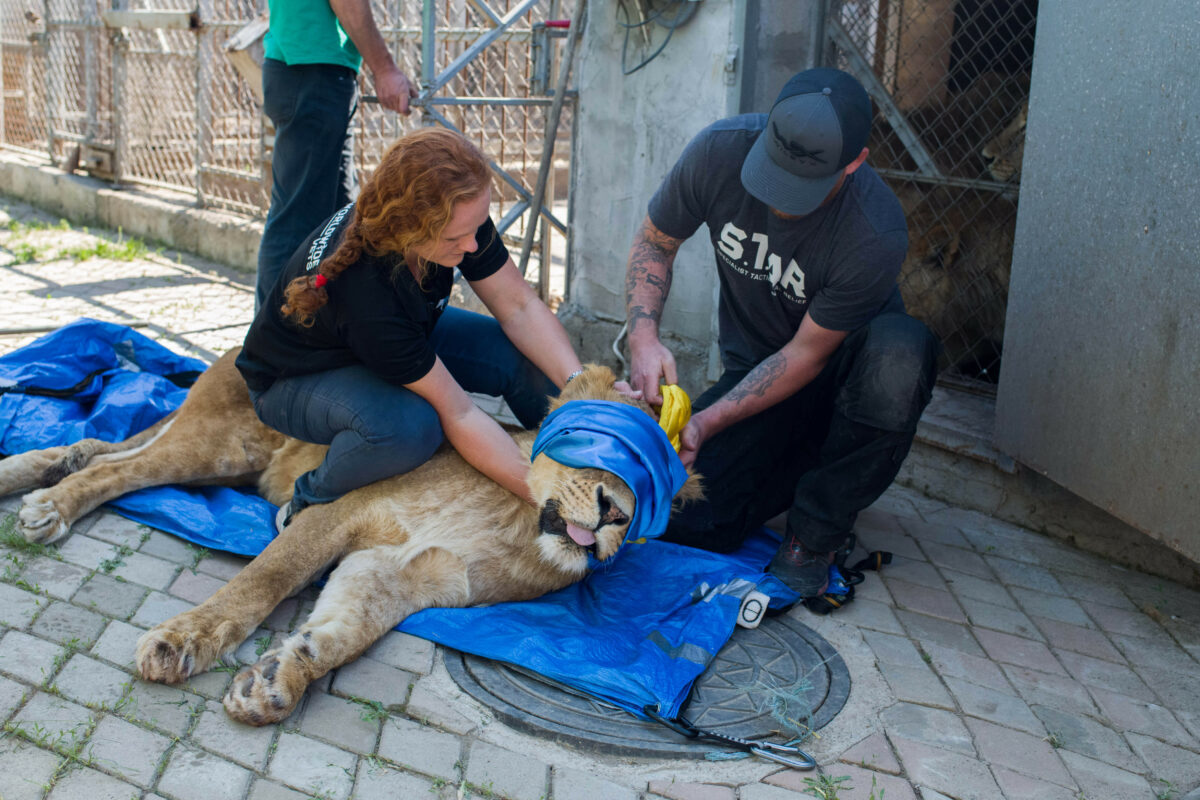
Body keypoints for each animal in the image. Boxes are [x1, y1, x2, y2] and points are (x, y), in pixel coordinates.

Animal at [0, 353, 698, 725]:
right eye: (600, 450)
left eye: (650, 495)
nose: (613, 514)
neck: (515, 518)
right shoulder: (342, 509)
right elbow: (267, 578)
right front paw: (187, 639)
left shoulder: (405, 573)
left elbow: (345, 631)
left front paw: (278, 678)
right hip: (219, 445)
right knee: (113, 469)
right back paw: (49, 507)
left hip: (217, 460)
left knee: (101, 447)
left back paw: (32, 476)